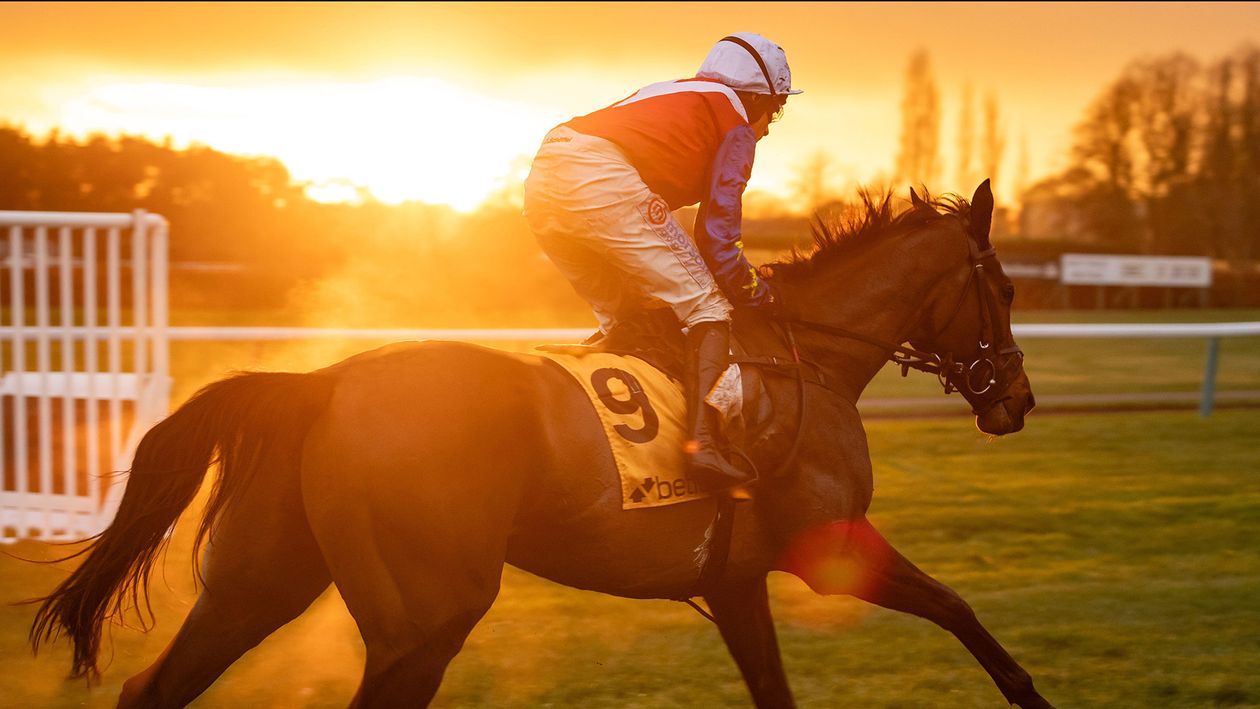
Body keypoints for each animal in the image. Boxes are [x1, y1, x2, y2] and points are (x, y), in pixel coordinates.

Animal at [30, 180, 1050, 708]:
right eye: (1003, 287)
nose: (1019, 398)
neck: (806, 359)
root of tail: (325, 383)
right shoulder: (826, 547)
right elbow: (959, 607)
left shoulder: (736, 579)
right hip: (424, 617)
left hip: (257, 583)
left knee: (151, 688)